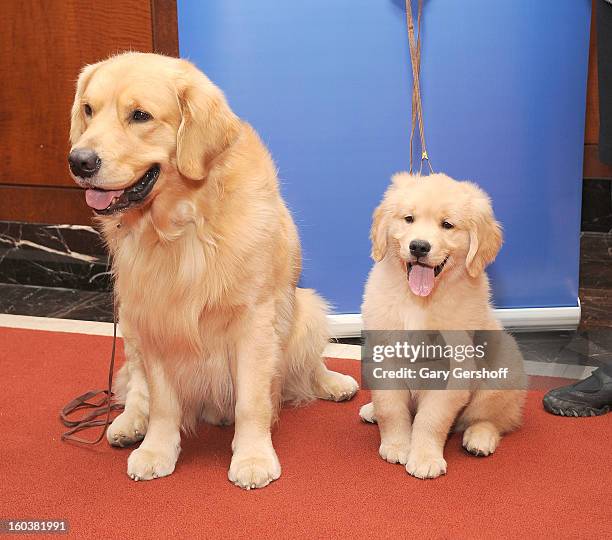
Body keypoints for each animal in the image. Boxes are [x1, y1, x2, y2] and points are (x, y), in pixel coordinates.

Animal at [67, 53, 356, 490]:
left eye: (140, 115)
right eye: (88, 109)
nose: (80, 161)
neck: (182, 224)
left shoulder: (254, 320)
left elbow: (252, 401)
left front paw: (253, 457)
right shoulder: (156, 317)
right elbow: (162, 403)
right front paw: (156, 450)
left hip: (305, 308)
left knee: (305, 364)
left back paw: (333, 383)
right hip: (129, 321)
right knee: (135, 385)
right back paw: (129, 423)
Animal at [358, 172, 524, 476]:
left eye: (447, 225)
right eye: (408, 219)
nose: (419, 246)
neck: (419, 301)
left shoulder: (453, 370)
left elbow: (431, 419)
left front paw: (425, 458)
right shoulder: (383, 357)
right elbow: (391, 408)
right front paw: (396, 445)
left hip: (504, 369)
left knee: (495, 420)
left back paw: (479, 438)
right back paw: (371, 410)